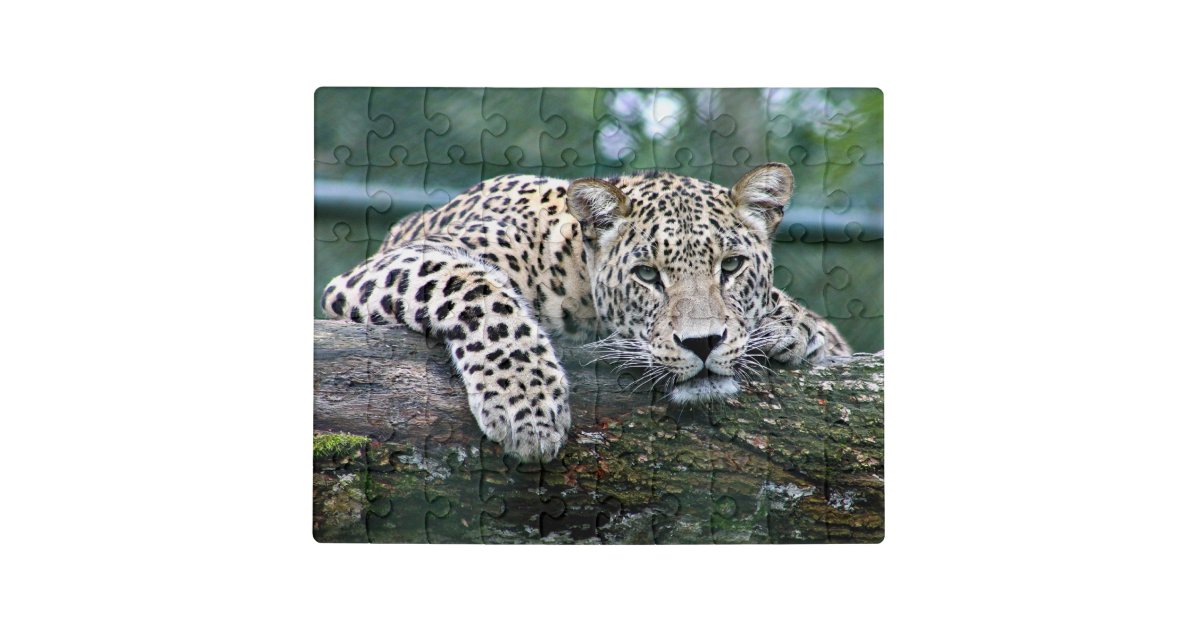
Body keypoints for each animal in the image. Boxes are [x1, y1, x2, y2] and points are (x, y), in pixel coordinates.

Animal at [320, 163, 850, 463]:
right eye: (647, 275)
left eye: (732, 266)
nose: (702, 343)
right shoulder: (395, 264)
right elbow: (478, 290)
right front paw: (527, 406)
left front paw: (794, 325)